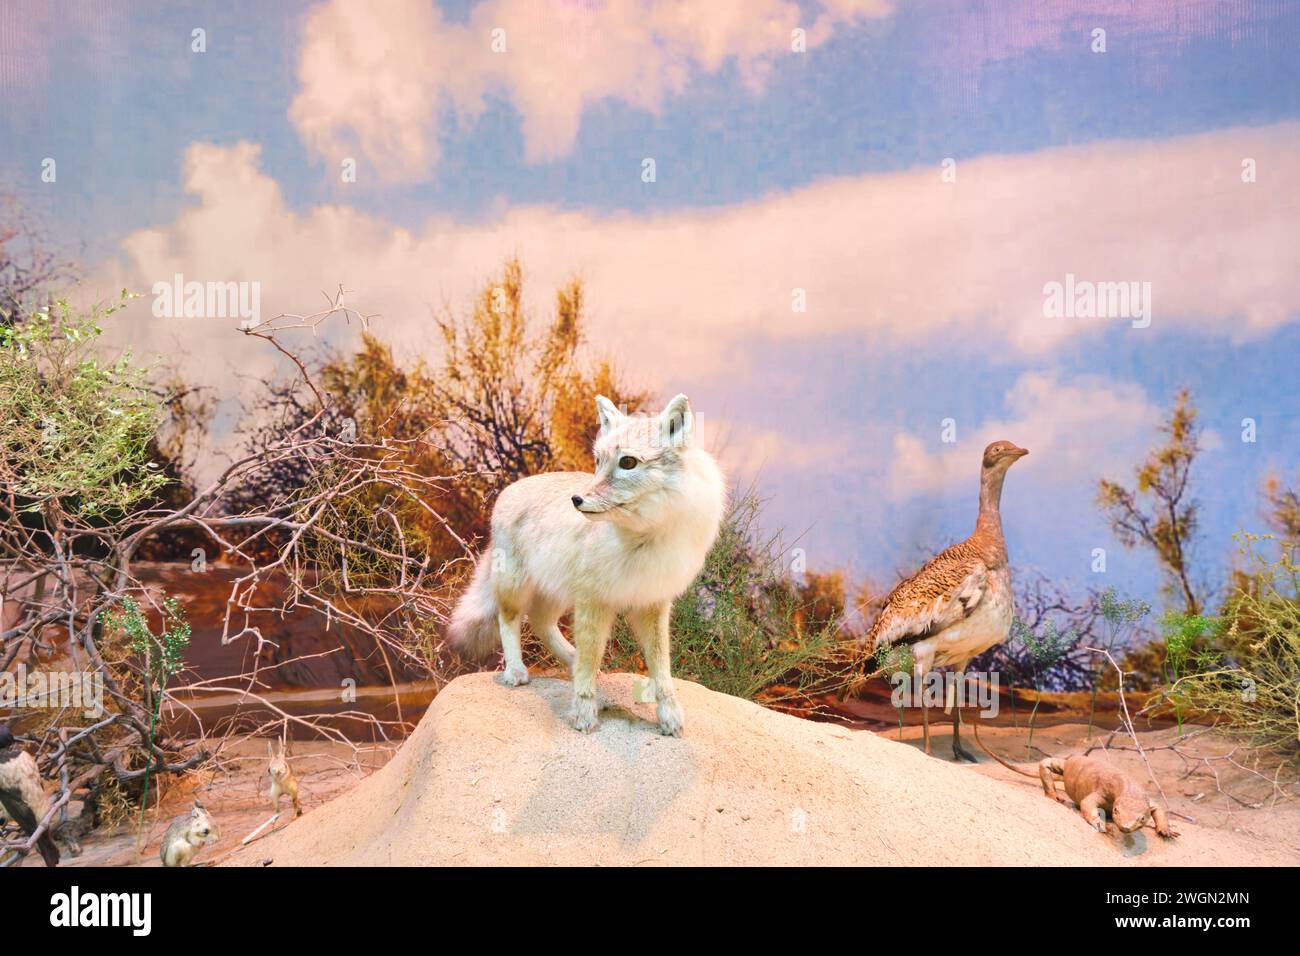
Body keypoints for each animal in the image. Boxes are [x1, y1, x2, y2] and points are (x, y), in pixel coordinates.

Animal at [448, 393, 726, 736]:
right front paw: (584, 712)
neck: (645, 540)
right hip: (520, 588)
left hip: (557, 594)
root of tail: (510, 488)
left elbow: (661, 667)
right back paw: (516, 670)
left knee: (541, 623)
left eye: (628, 462)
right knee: (509, 619)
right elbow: (590, 661)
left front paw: (669, 715)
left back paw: (570, 656)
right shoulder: (594, 601)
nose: (576, 500)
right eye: (597, 462)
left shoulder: (652, 603)